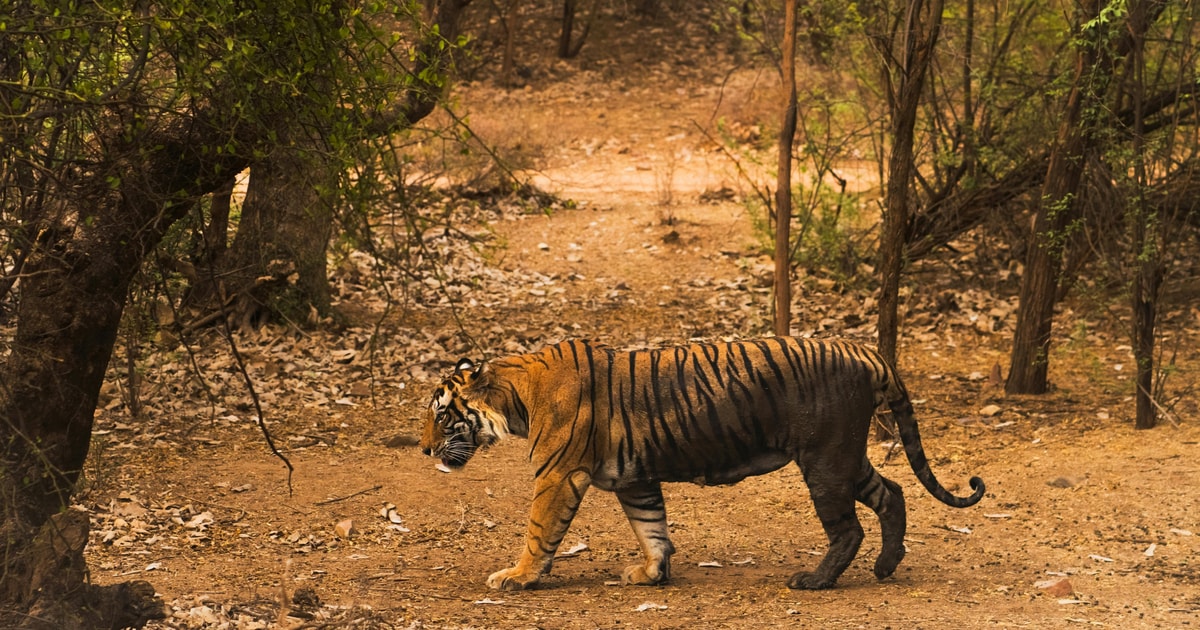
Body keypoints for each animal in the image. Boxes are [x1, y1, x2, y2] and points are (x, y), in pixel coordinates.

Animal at [419, 336, 984, 592]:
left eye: (442, 415)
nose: (423, 450)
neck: (517, 397)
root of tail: (867, 350)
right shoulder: (635, 477)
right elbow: (651, 526)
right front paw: (652, 572)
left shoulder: (558, 475)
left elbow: (539, 531)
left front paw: (518, 576)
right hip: (845, 456)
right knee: (893, 493)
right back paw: (887, 566)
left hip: (825, 461)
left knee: (848, 528)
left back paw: (815, 580)